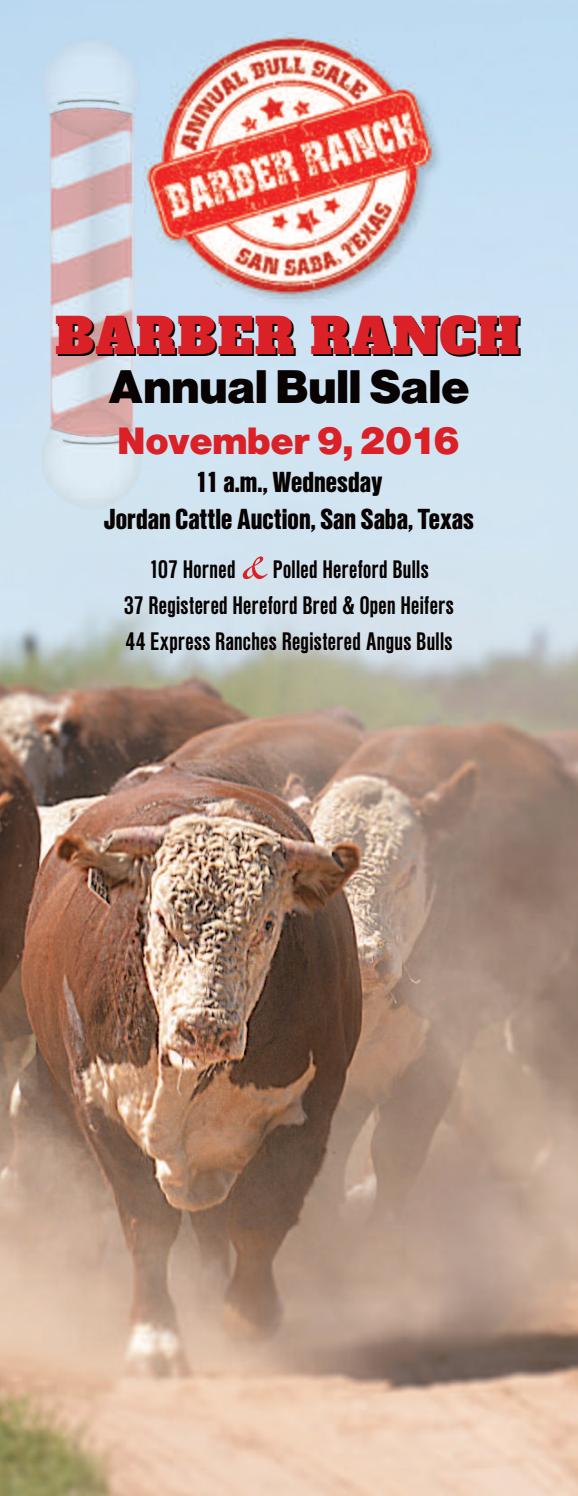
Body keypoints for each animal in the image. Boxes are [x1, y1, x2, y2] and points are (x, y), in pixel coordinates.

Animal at [19, 771, 361, 1375]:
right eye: (162, 919)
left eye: (267, 923)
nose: (205, 1028)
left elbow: (262, 1216)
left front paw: (248, 1318)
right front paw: (155, 1338)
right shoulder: (99, 1109)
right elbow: (147, 1225)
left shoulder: (308, 1113)